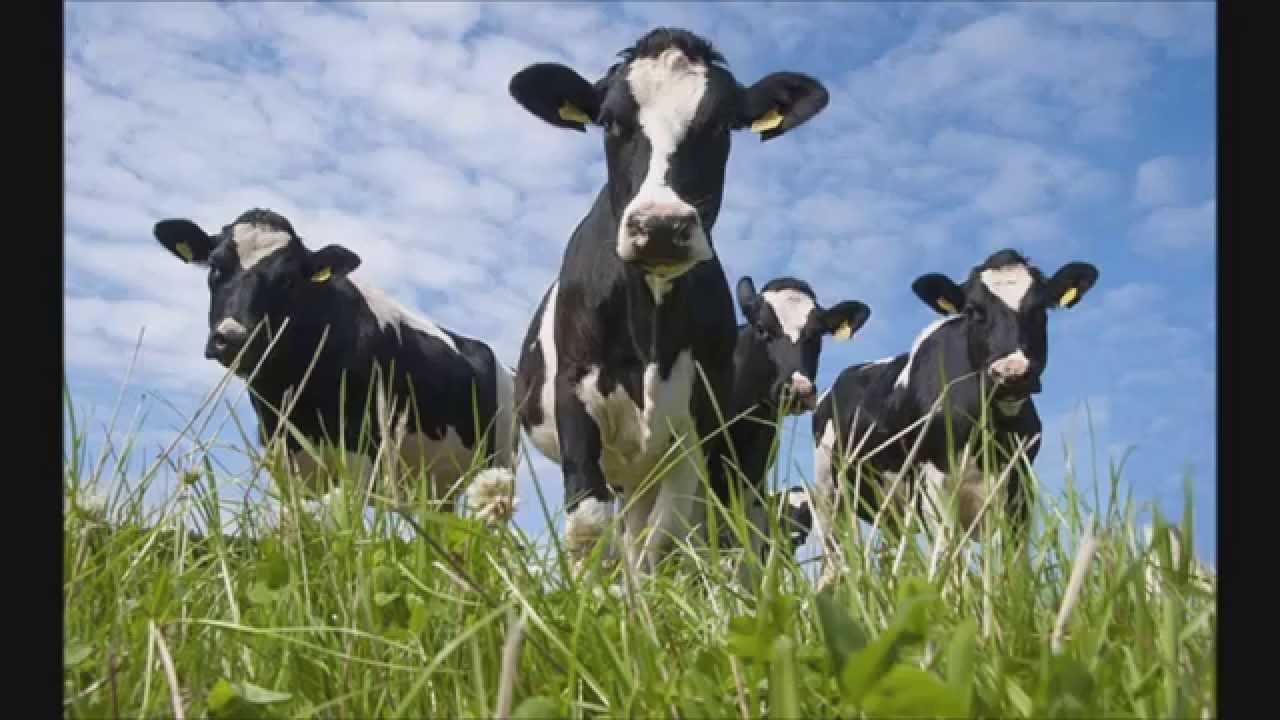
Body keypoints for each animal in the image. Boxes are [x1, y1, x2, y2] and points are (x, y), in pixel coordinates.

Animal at [152, 208, 519, 525]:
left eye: (288, 279)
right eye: (215, 268)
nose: (232, 337)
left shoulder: (358, 456)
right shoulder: (282, 461)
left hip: (499, 465)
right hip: (439, 490)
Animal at [509, 26, 831, 577]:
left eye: (721, 124)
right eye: (610, 121)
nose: (660, 225)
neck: (650, 331)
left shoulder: (698, 430)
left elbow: (664, 540)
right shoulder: (575, 397)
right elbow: (588, 530)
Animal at [811, 249, 1099, 587]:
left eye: (1041, 309)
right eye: (974, 311)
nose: (1012, 374)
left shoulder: (1019, 488)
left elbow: (1012, 567)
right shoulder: (935, 488)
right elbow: (951, 566)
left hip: (890, 508)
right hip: (829, 494)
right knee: (834, 557)